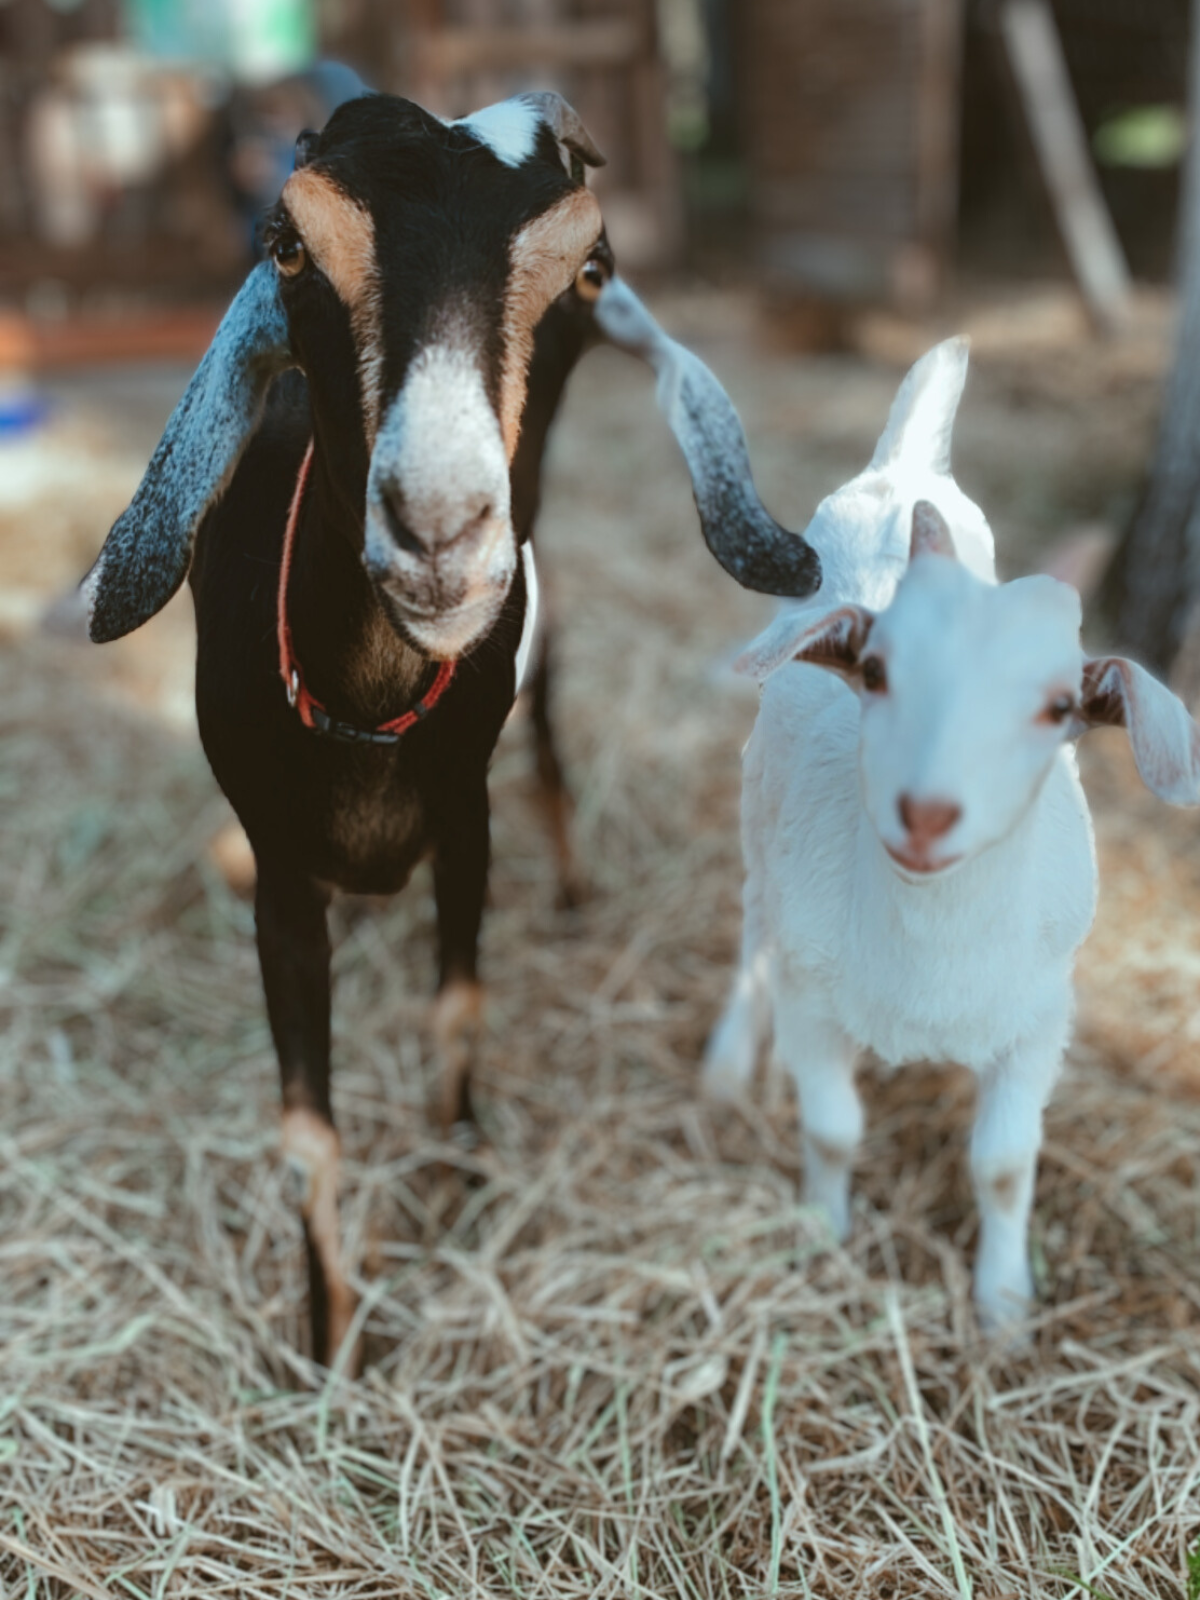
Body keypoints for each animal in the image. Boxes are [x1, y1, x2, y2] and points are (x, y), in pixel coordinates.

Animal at [83, 89, 623, 1368]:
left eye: (591, 267)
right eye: (287, 245)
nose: (440, 531)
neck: (373, 705)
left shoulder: (467, 819)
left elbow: (459, 1003)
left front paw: (461, 1177)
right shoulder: (282, 872)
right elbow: (307, 1127)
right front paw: (329, 1334)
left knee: (553, 738)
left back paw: (576, 885)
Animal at [597, 284, 1200, 1330]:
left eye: (1059, 709)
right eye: (874, 672)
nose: (925, 814)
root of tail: (903, 469)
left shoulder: (1039, 1019)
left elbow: (1005, 1164)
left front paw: (1005, 1308)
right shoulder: (813, 1003)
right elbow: (834, 1127)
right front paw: (822, 1235)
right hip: (760, 829)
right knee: (751, 934)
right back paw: (725, 1067)